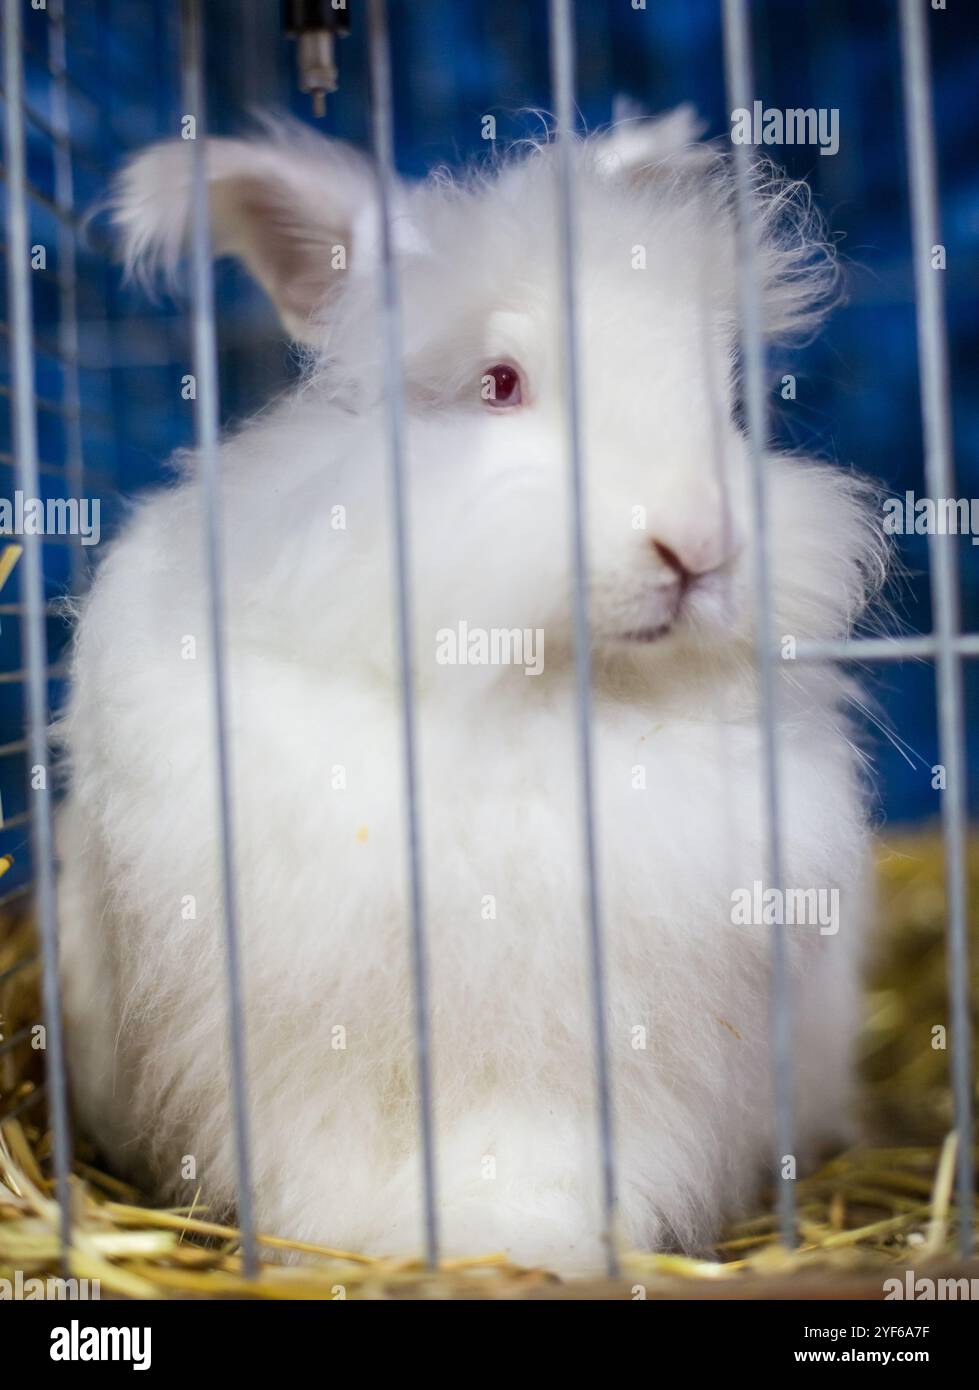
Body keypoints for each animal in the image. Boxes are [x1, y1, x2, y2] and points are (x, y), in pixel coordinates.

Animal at [55, 108, 886, 1274]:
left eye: (718, 395)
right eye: (499, 383)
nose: (700, 545)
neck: (527, 688)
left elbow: (547, 1154)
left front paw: (519, 1237)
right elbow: (327, 1152)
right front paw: (363, 1242)